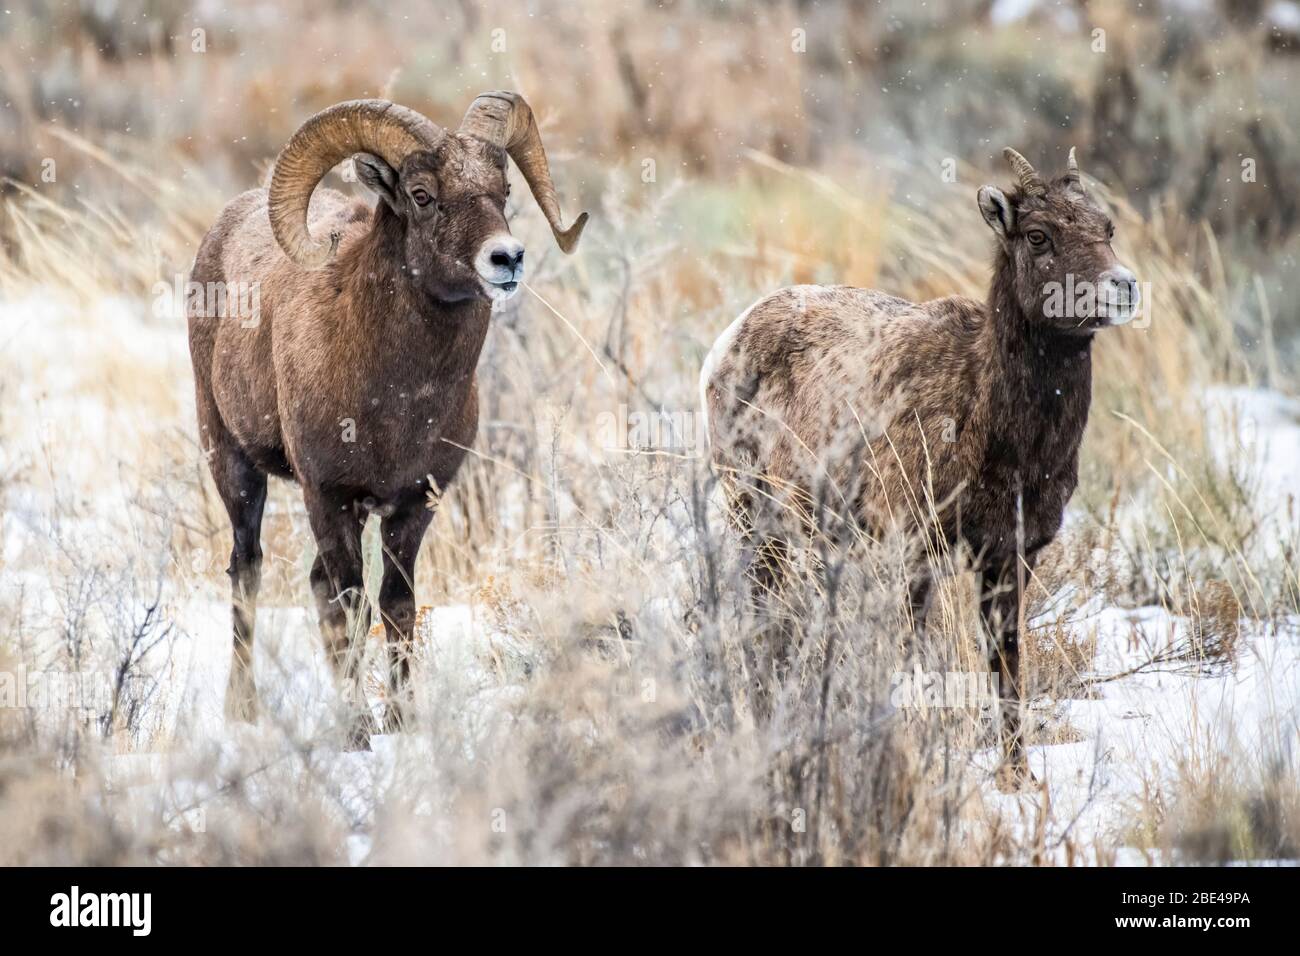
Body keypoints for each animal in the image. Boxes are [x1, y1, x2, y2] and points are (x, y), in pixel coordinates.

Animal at [187, 94, 587, 748]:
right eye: (422, 194)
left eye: (504, 190)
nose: (506, 258)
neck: (396, 401)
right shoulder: (329, 498)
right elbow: (353, 607)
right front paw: (356, 734)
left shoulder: (413, 505)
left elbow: (396, 606)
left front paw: (401, 724)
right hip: (232, 463)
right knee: (248, 572)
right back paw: (241, 711)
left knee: (316, 585)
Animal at [700, 148, 1139, 787]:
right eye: (1037, 234)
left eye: (1106, 229)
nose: (1123, 287)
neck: (999, 437)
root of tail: (725, 342)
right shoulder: (912, 548)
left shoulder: (1010, 554)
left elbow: (1005, 662)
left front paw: (1018, 776)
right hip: (753, 514)